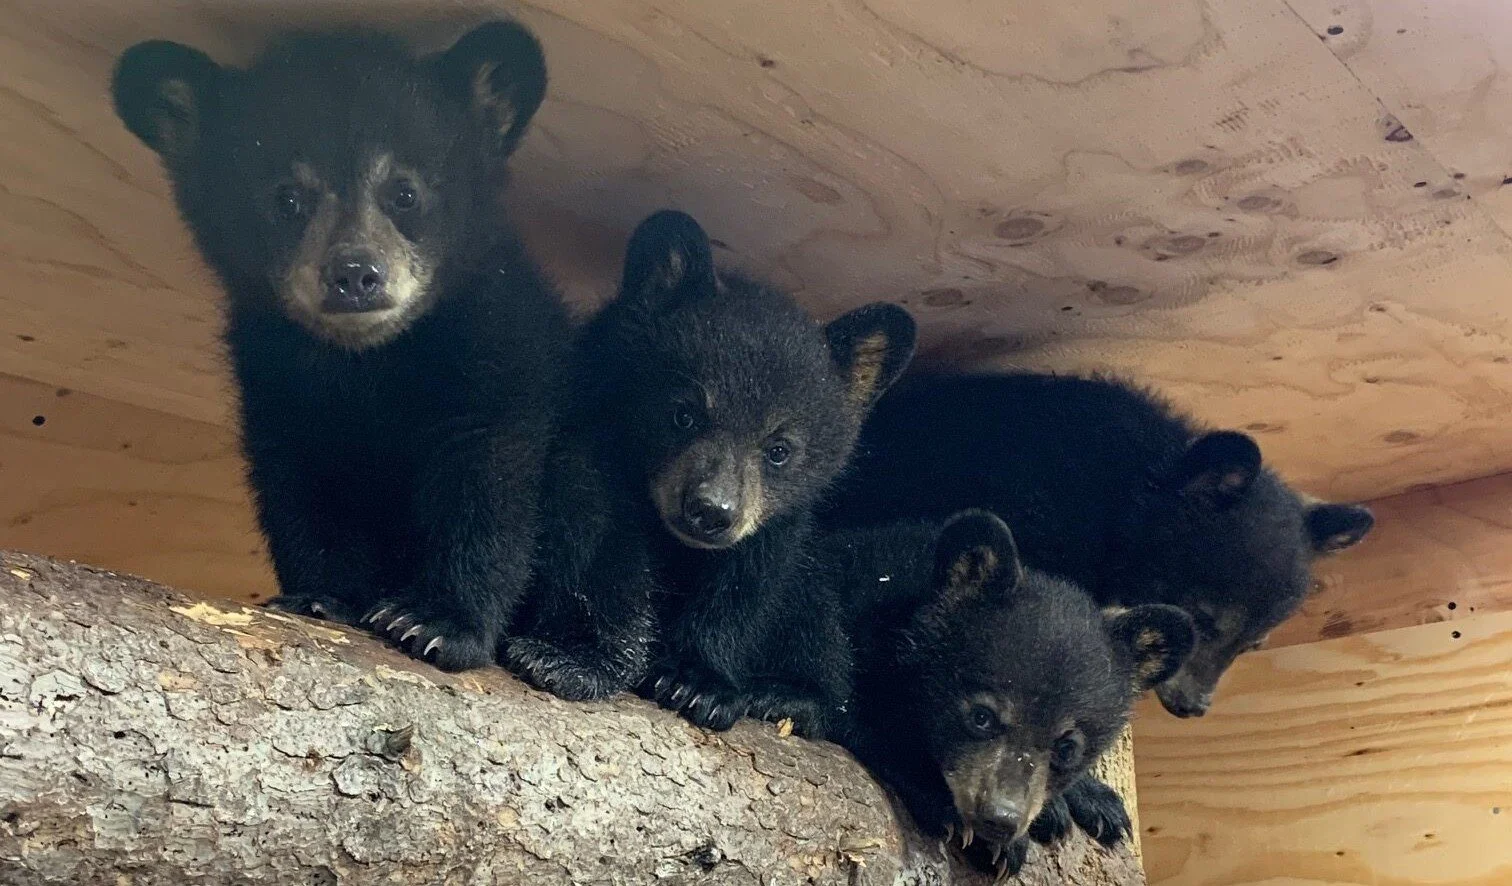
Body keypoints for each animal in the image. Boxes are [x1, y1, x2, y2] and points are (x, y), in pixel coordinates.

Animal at [112, 22, 571, 671]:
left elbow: (488, 475)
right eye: (287, 199)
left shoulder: (501, 343)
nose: (354, 273)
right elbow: (301, 482)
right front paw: (324, 596)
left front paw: (435, 621)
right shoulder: (275, 376)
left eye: (405, 193)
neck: (367, 360)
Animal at [504, 209, 916, 729]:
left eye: (779, 449)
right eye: (684, 414)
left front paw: (699, 681)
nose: (711, 512)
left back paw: (789, 696)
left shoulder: (779, 516)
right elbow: (597, 542)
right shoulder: (589, 441)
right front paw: (571, 659)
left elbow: (753, 575)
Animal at [821, 510, 1195, 877]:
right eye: (981, 717)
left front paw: (1098, 802)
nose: (1000, 818)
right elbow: (863, 722)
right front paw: (962, 818)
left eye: (1067, 748)